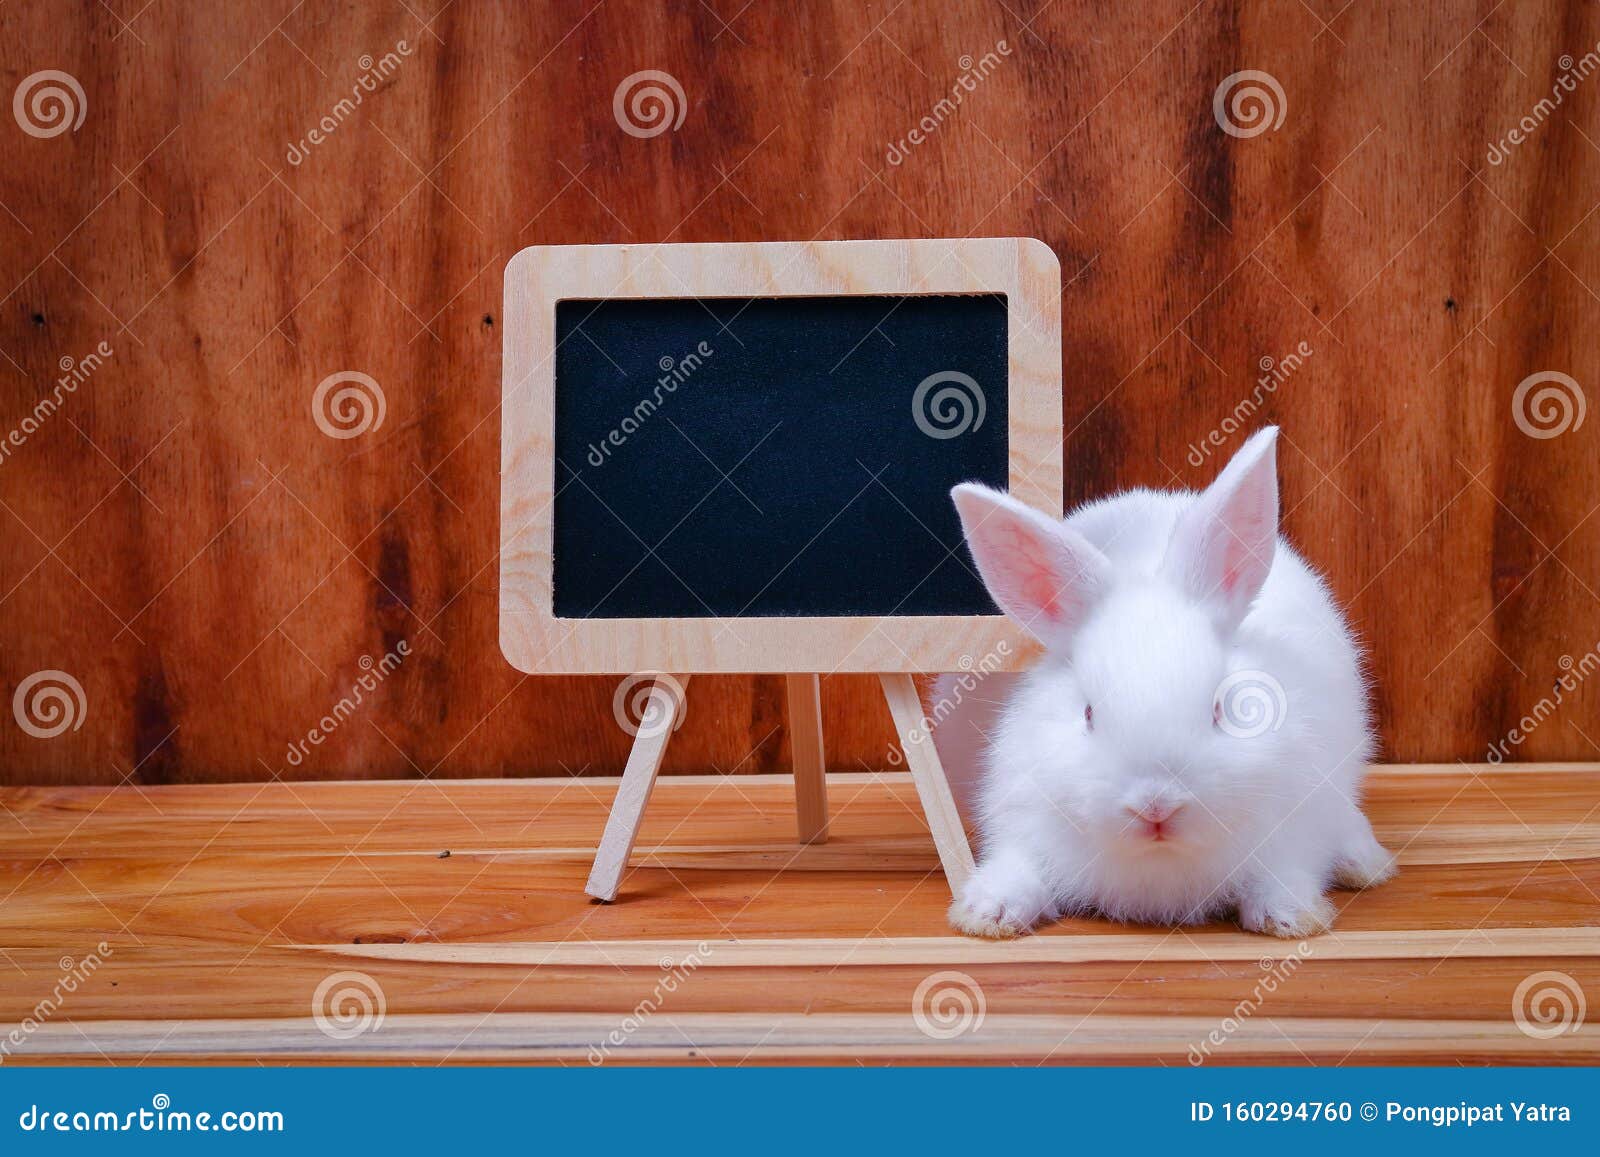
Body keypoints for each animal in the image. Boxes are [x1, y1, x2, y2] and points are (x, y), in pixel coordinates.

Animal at [941, 427, 1394, 939]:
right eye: (1088, 714)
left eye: (1220, 709)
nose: (1156, 806)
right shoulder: (1020, 818)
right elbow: (1018, 867)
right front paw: (987, 913)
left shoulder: (1297, 824)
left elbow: (1282, 874)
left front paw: (1292, 916)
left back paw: (1366, 863)